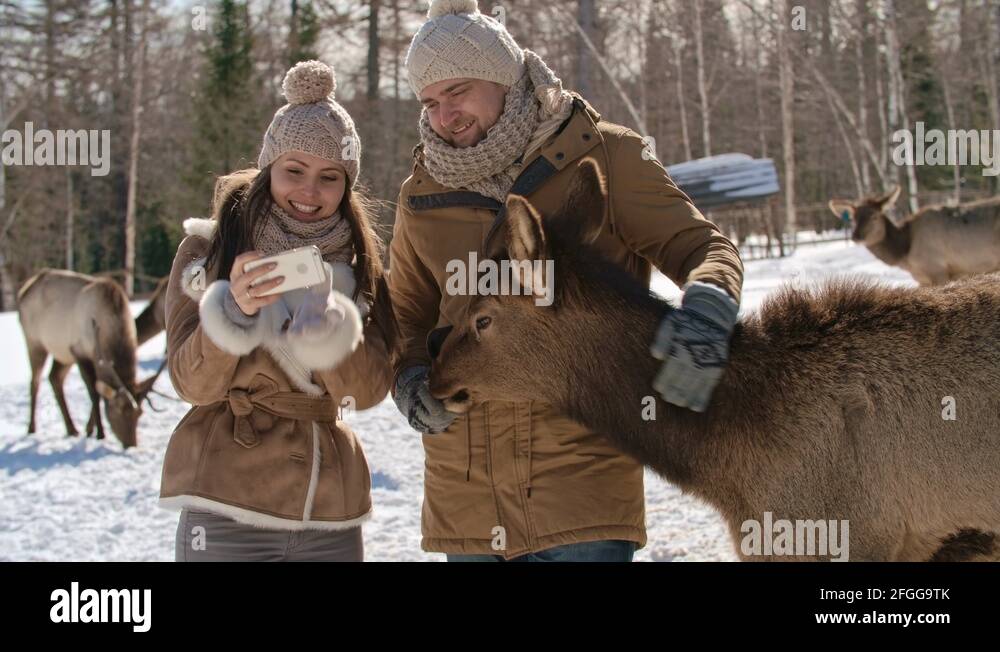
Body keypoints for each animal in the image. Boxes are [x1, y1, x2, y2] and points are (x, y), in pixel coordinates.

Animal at [17, 269, 167, 448]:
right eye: (118, 411)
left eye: (139, 413)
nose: (131, 444)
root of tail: (24, 290)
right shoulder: (79, 351)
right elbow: (94, 392)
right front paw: (100, 434)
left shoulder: (88, 355)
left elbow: (100, 389)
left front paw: (89, 430)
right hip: (35, 342)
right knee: (35, 381)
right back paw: (31, 428)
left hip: (62, 353)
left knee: (54, 378)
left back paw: (71, 429)